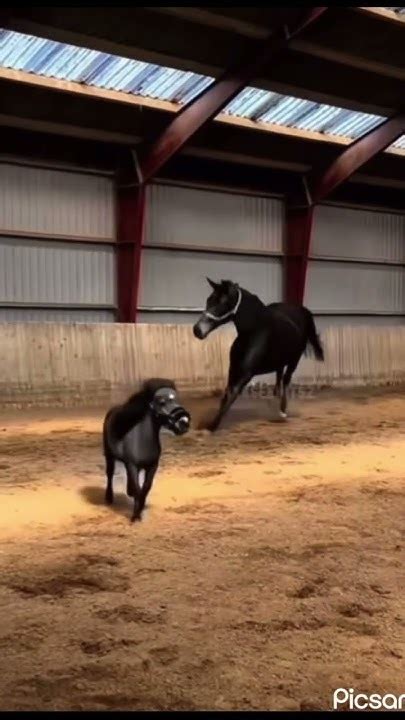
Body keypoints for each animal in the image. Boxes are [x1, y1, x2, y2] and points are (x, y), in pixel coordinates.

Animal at [103, 378, 191, 522]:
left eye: (177, 399)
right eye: (162, 402)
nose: (184, 423)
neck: (142, 441)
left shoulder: (152, 466)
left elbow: (146, 487)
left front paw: (141, 508)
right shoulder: (132, 465)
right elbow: (138, 489)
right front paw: (135, 516)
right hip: (109, 456)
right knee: (110, 475)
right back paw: (109, 498)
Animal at [193, 279, 324, 431]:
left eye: (223, 302)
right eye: (209, 300)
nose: (197, 330)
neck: (253, 332)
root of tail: (302, 310)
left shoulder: (247, 373)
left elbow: (233, 393)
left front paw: (212, 426)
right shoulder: (234, 368)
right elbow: (226, 395)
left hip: (294, 360)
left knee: (286, 380)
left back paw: (282, 412)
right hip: (280, 361)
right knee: (279, 378)